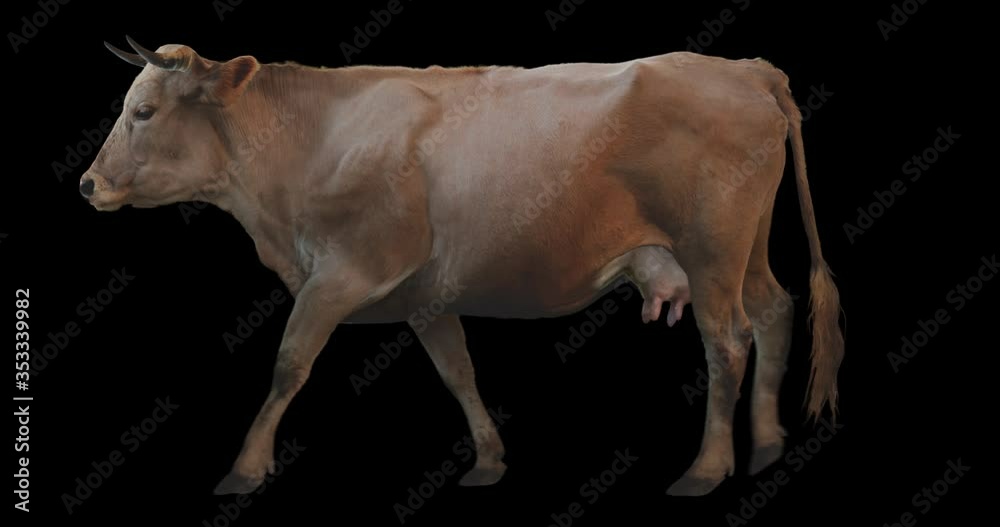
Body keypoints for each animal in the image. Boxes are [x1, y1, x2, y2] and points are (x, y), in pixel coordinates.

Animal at [82, 37, 844, 497]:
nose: (89, 184)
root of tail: (743, 67)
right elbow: (458, 372)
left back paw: (707, 468)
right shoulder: (427, 296)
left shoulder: (343, 273)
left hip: (712, 249)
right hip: (746, 250)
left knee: (727, 340)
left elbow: (290, 364)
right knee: (774, 312)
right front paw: (488, 458)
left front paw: (244, 466)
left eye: (142, 111)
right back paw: (767, 443)